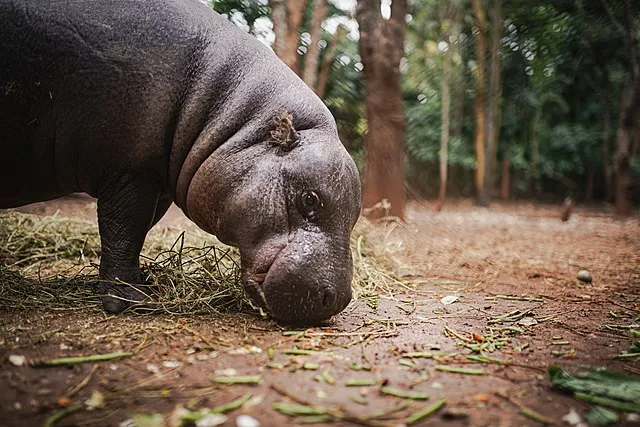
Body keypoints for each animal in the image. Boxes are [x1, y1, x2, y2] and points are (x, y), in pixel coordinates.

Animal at [0, 0, 361, 325]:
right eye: (309, 199)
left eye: (355, 215)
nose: (338, 300)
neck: (228, 116)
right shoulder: (132, 171)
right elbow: (123, 232)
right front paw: (135, 300)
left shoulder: (157, 183)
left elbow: (136, 233)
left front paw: (148, 283)